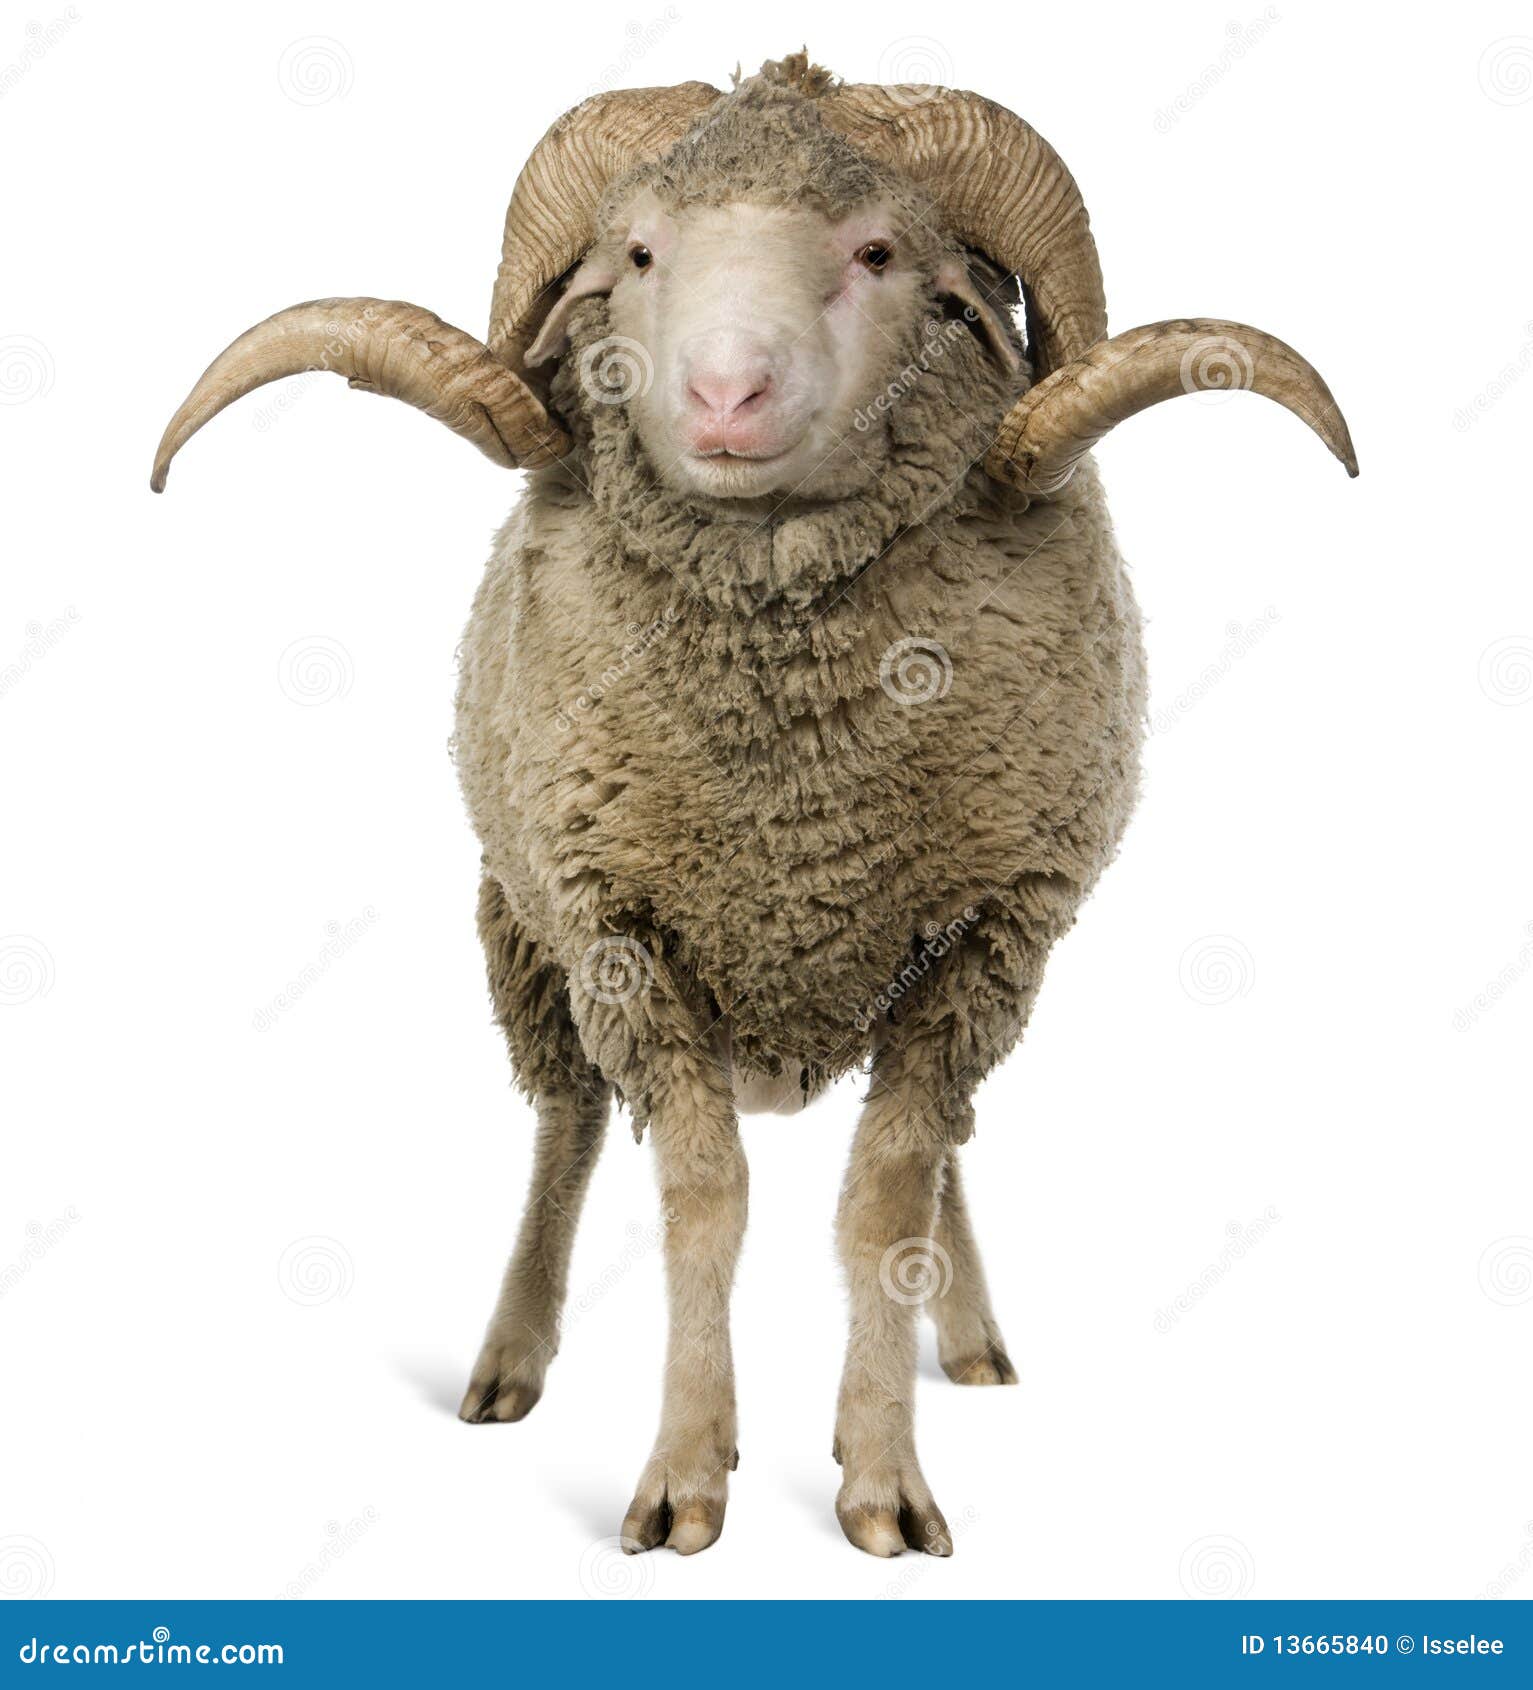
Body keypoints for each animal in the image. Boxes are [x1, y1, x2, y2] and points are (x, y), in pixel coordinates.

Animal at [151, 52, 1355, 1558]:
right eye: (637, 253)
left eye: (883, 253)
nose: (726, 393)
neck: (793, 792)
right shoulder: (616, 930)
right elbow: (701, 1199)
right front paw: (685, 1474)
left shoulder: (986, 936)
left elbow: (889, 1200)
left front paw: (881, 1477)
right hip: (518, 925)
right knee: (565, 1125)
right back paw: (510, 1357)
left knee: (945, 1150)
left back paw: (963, 1337)